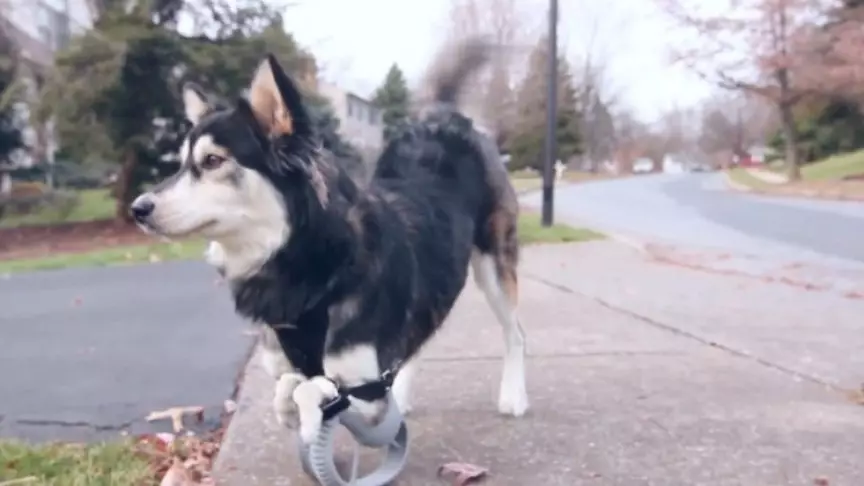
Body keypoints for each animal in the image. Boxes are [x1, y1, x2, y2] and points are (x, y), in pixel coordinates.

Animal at [130, 39, 528, 442]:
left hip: (495, 267)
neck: (310, 263)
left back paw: (514, 396)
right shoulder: (291, 364)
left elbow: (316, 387)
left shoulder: (368, 392)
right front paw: (294, 409)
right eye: (180, 164)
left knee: (515, 333)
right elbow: (291, 386)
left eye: (212, 161)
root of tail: (446, 119)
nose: (138, 208)